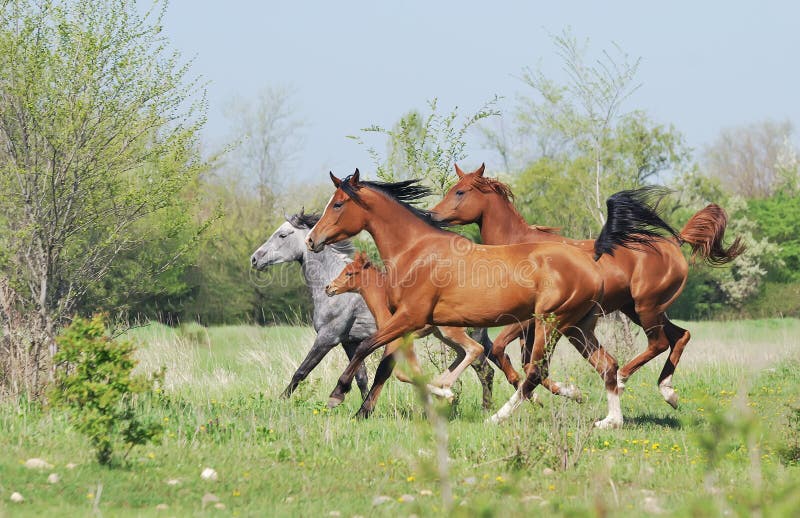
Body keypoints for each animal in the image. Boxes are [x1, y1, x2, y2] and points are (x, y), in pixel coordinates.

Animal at [324, 252, 494, 414]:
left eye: (349, 273)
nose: (328, 288)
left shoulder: (400, 340)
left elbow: (401, 372)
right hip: (441, 335)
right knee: (464, 354)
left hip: (450, 332)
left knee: (475, 350)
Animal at [432, 165, 744, 408]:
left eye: (460, 191)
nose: (434, 215)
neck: (519, 247)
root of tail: (673, 242)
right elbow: (527, 362)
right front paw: (562, 393)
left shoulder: (528, 319)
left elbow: (503, 351)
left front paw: (558, 394)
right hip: (638, 310)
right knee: (681, 335)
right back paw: (668, 393)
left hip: (647, 307)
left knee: (660, 342)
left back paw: (623, 378)